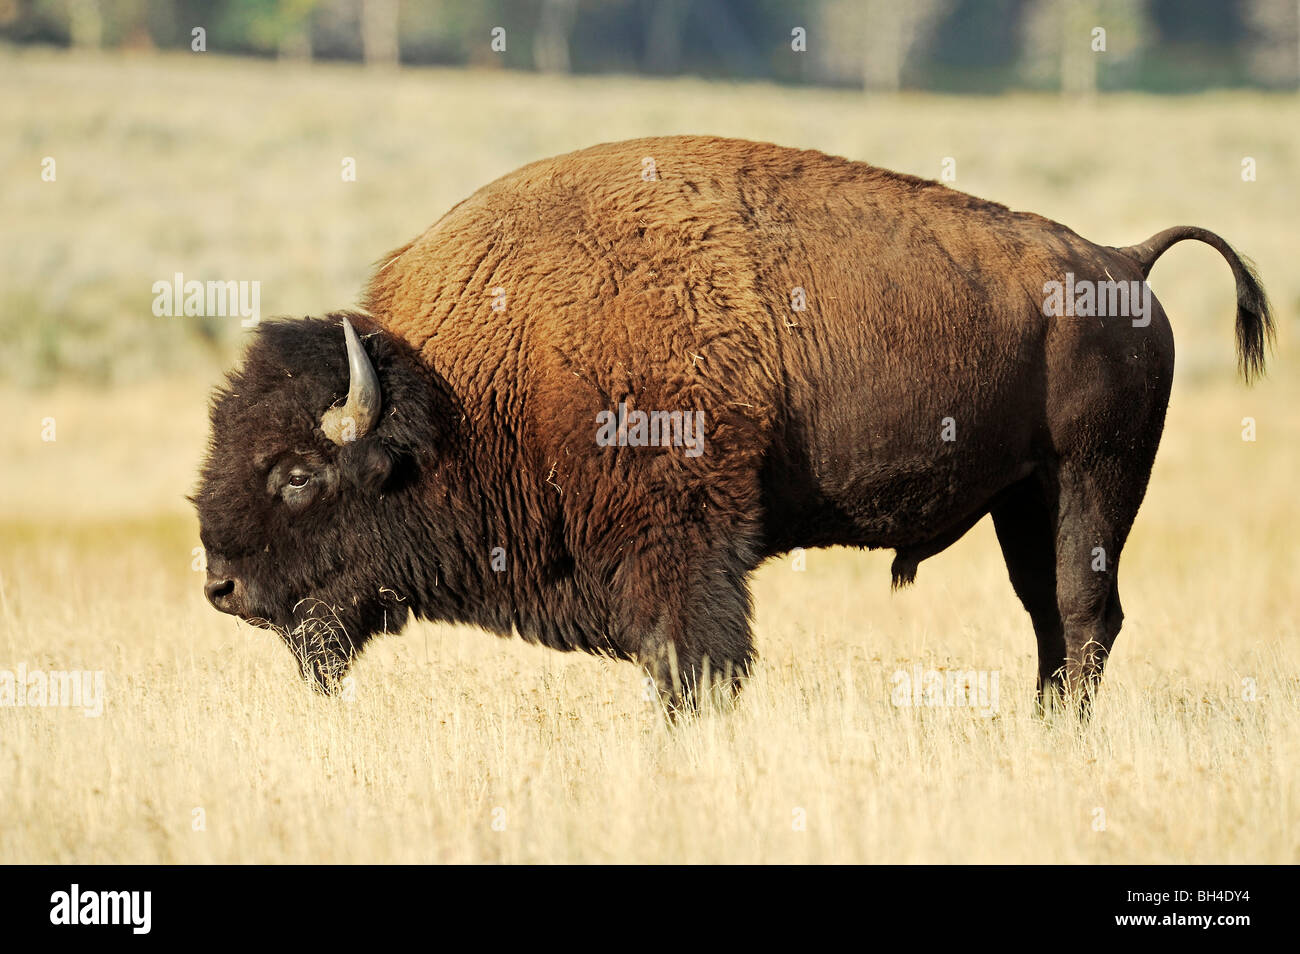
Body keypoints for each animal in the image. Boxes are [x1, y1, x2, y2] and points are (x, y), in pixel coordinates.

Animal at [194, 135, 1272, 716]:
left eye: (297, 474)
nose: (220, 586)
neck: (472, 386)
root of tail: (1121, 260)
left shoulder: (682, 542)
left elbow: (692, 658)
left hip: (1095, 480)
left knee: (1086, 614)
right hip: (1025, 499)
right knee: (1048, 615)